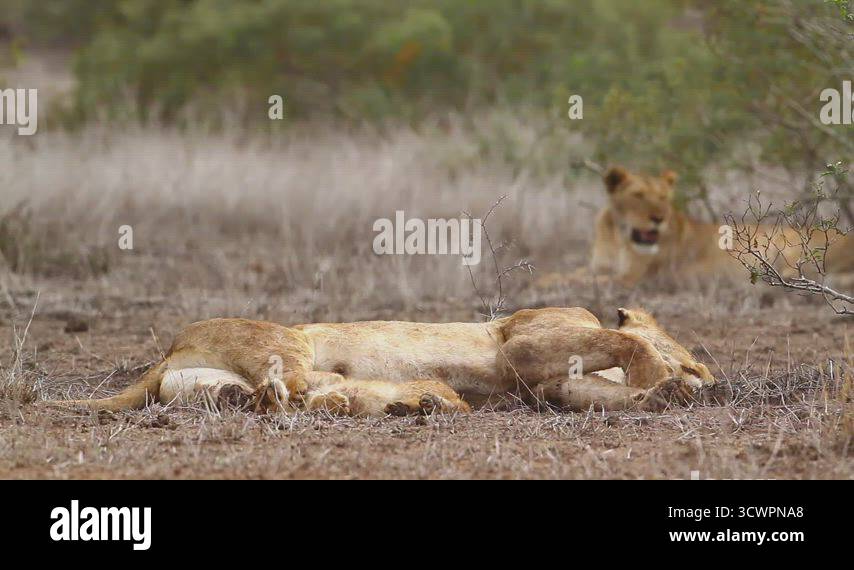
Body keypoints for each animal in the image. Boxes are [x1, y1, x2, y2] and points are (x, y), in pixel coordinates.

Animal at [590, 166, 854, 286]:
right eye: (638, 195)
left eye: (664, 197)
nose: (658, 218)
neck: (619, 236)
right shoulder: (601, 266)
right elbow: (582, 273)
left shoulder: (632, 276)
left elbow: (584, 280)